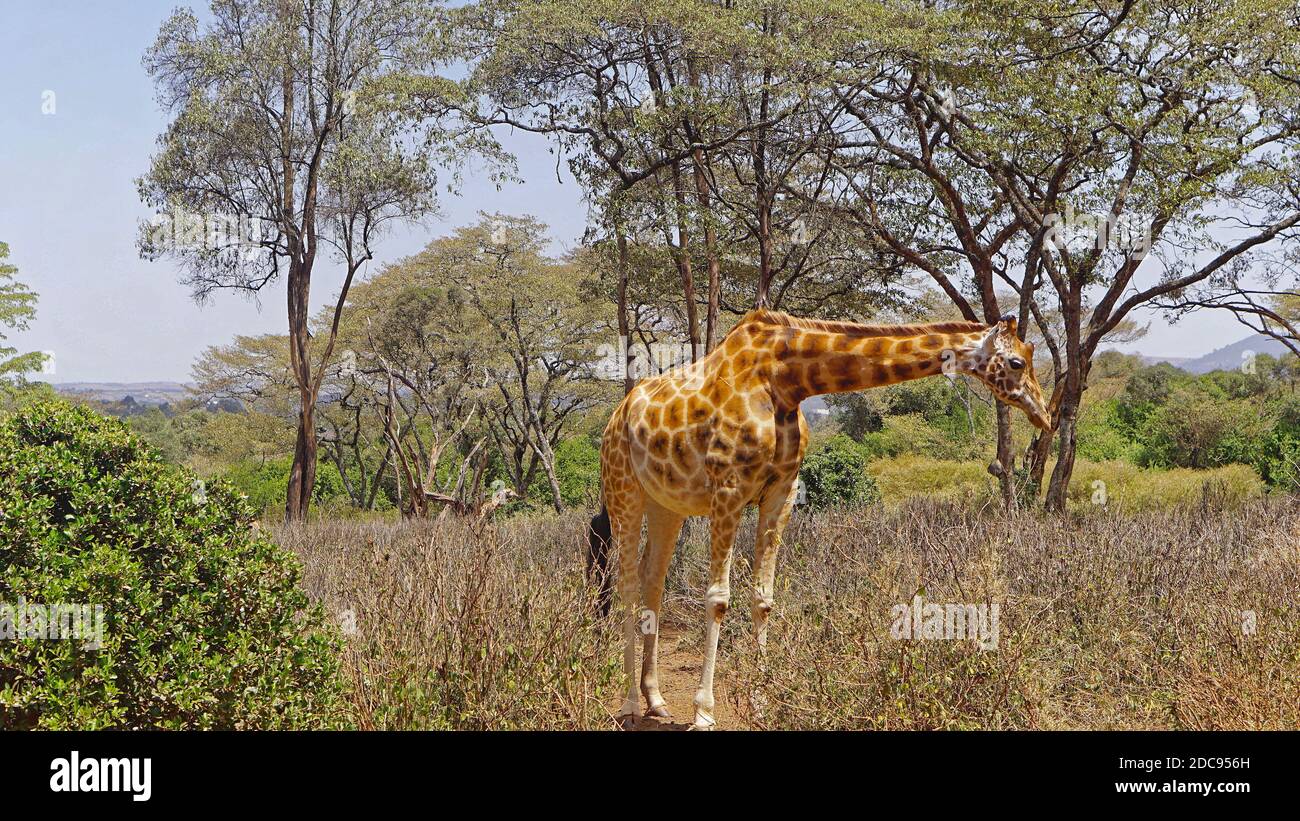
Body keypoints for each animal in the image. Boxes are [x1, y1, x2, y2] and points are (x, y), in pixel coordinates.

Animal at [587, 308, 1051, 729]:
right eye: (1017, 362)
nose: (1045, 415)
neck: (786, 380)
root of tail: (618, 413)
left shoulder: (781, 492)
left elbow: (763, 598)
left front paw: (761, 702)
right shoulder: (729, 489)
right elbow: (718, 598)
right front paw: (704, 711)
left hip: (668, 505)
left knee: (653, 581)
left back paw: (657, 700)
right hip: (623, 488)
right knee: (627, 583)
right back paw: (630, 705)